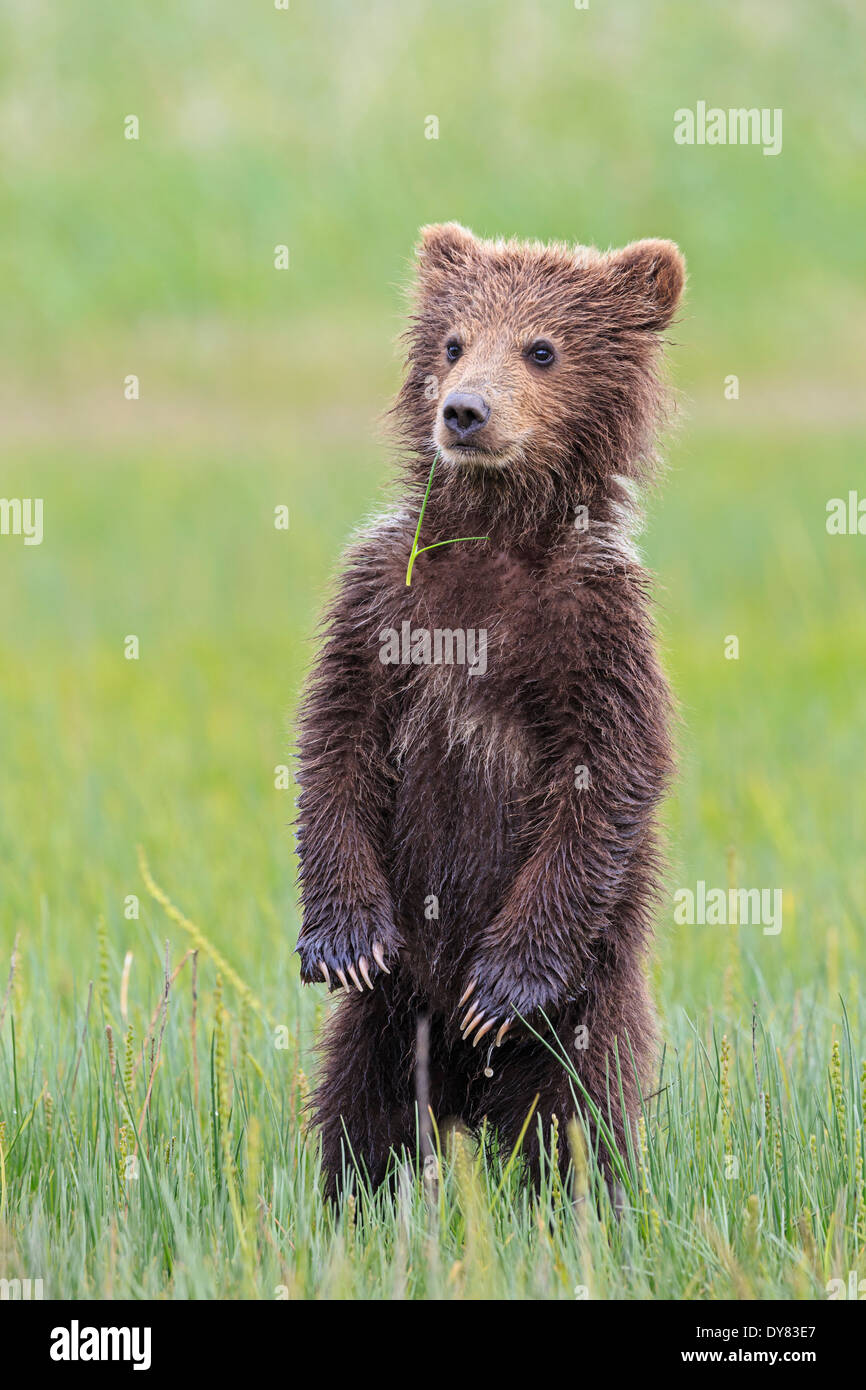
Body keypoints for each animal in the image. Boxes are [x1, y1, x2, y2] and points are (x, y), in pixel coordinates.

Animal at [294, 222, 684, 1199]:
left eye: (542, 348)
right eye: (452, 342)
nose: (464, 412)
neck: (498, 538)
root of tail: (467, 1095)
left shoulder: (598, 628)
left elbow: (607, 779)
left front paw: (504, 985)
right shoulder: (383, 601)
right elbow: (337, 738)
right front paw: (342, 937)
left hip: (589, 1009)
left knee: (576, 1117)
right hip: (390, 1020)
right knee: (363, 1110)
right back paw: (350, 1200)